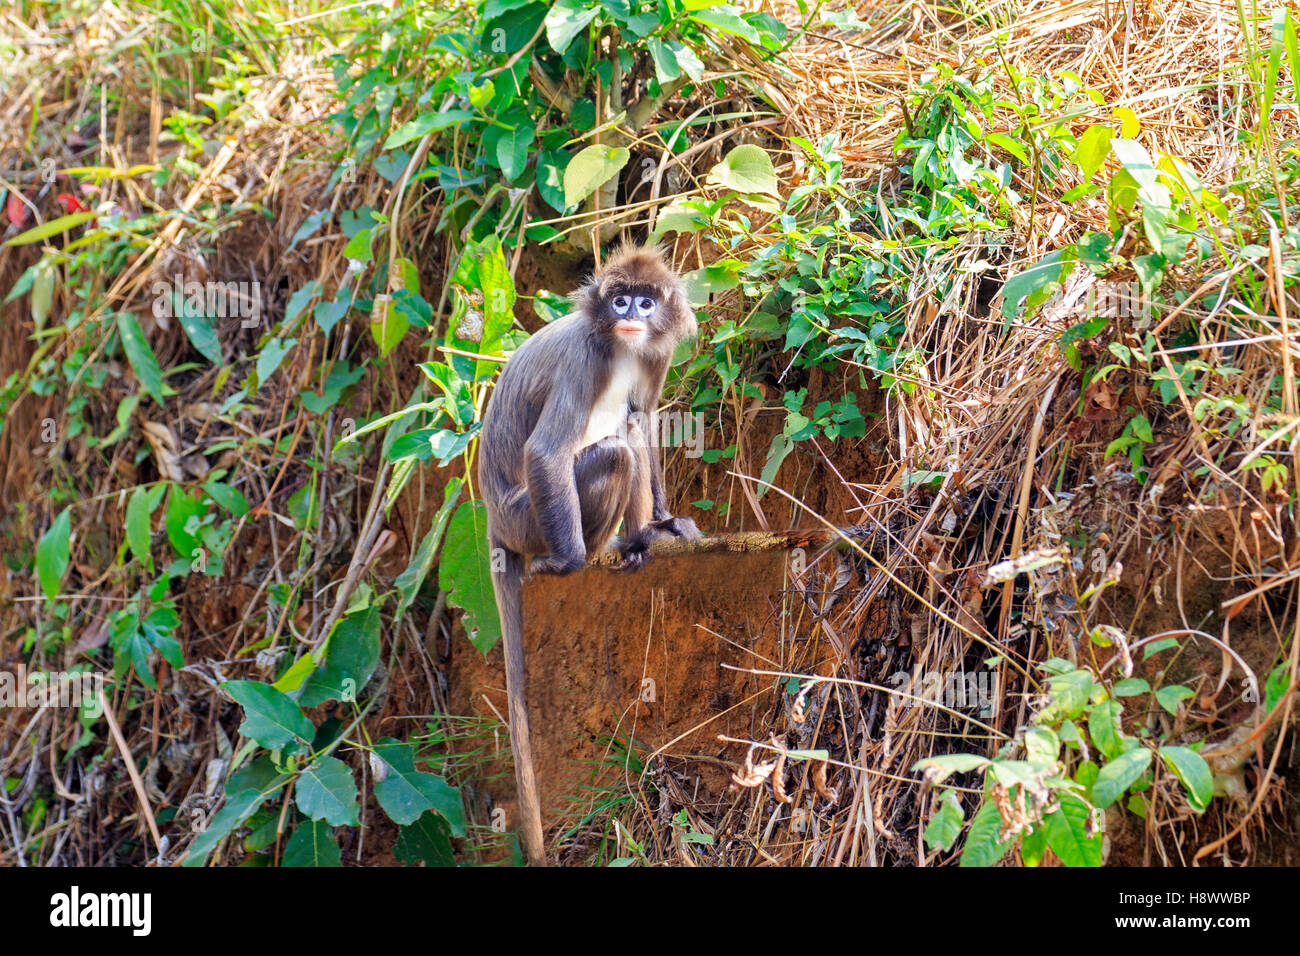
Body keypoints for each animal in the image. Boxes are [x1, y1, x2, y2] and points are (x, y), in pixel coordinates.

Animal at [477, 244, 702, 865]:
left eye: (646, 302)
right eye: (619, 298)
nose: (629, 312)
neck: (621, 347)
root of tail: (494, 518)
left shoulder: (655, 353)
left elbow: (647, 417)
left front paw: (665, 522)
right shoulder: (584, 358)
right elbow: (546, 451)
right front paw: (570, 564)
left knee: (629, 430)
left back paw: (644, 537)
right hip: (529, 517)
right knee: (616, 453)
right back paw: (591, 552)